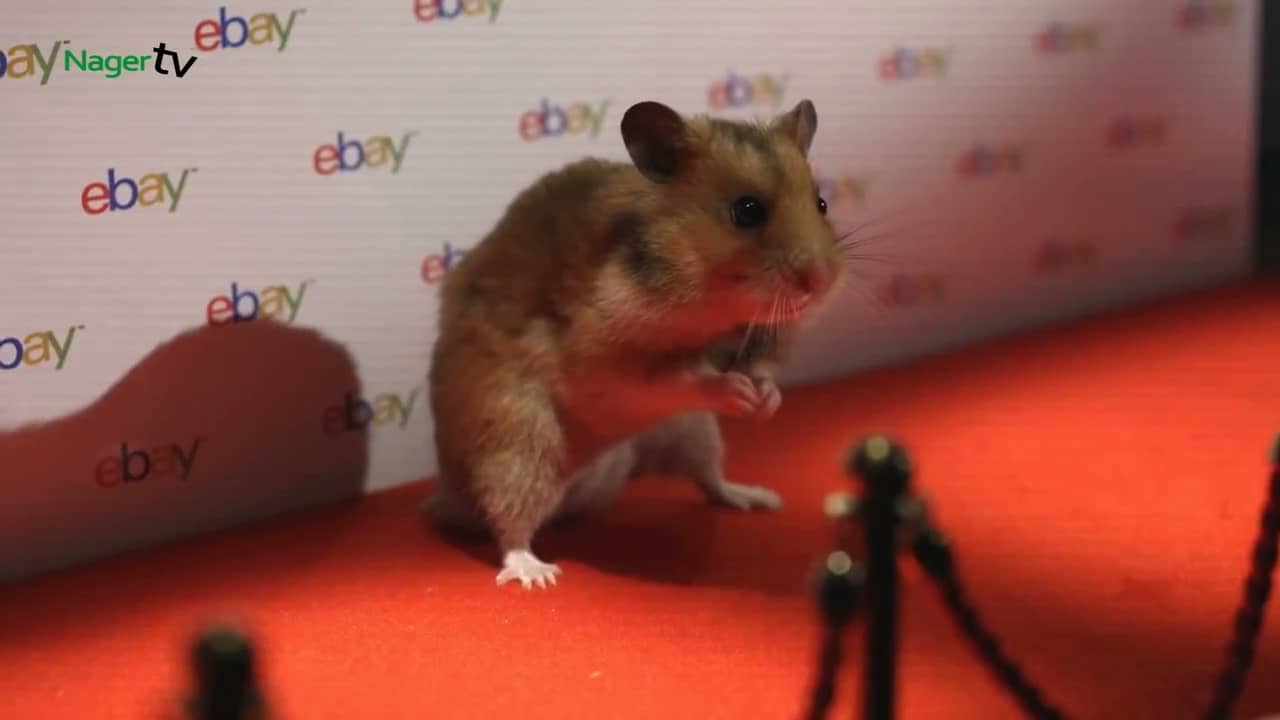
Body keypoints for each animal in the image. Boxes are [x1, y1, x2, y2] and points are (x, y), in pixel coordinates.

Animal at [425, 98, 846, 588]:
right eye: (747, 211)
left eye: (821, 203)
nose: (821, 282)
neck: (715, 312)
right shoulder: (617, 366)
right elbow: (685, 377)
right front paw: (738, 393)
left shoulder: (763, 337)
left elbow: (762, 368)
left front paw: (765, 401)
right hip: (520, 444)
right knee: (509, 525)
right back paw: (537, 574)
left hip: (690, 430)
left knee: (710, 480)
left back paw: (758, 497)